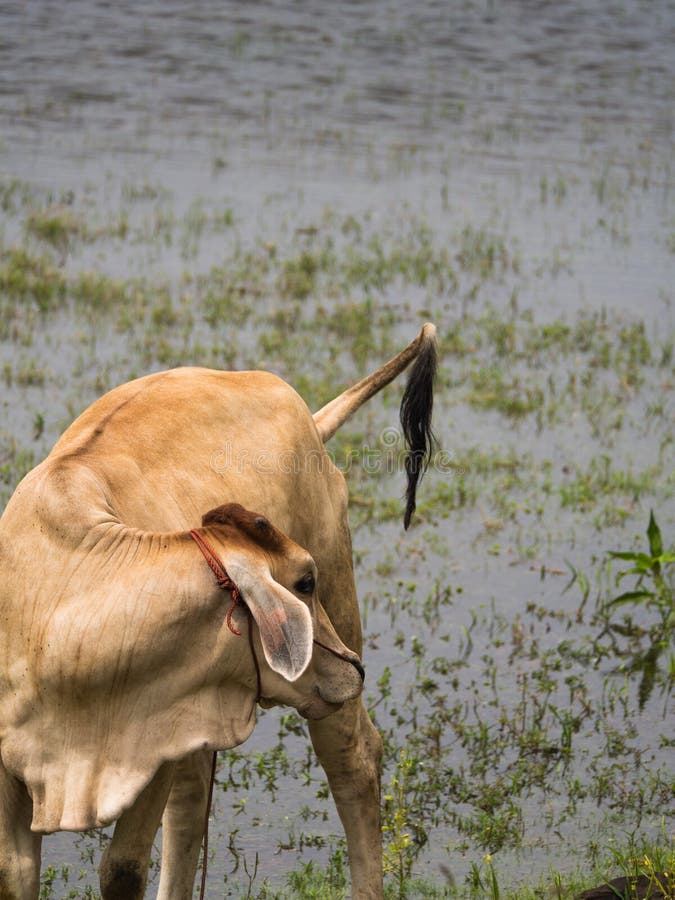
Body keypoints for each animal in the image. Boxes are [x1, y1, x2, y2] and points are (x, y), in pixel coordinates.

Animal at [0, 323, 437, 899]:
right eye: (304, 581)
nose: (353, 666)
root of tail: (295, 404)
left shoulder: (151, 748)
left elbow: (122, 868)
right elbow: (16, 874)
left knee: (355, 759)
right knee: (191, 806)